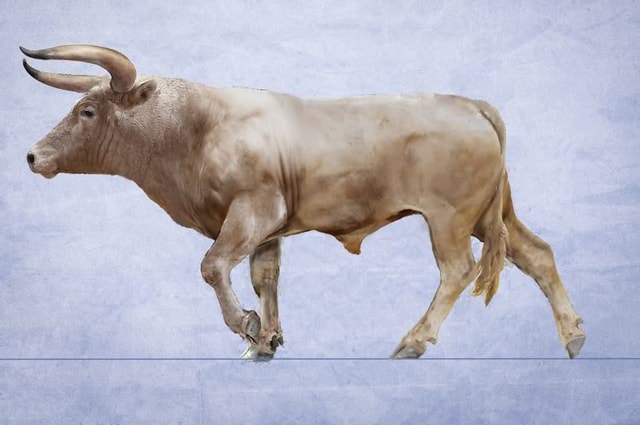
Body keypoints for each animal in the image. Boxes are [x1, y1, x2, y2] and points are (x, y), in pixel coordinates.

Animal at [21, 44, 585, 360]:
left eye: (88, 110)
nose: (32, 155)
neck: (194, 130)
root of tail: (470, 103)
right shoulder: (268, 230)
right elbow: (263, 277)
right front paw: (265, 341)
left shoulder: (254, 210)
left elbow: (213, 265)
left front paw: (246, 327)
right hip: (491, 215)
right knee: (537, 253)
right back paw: (573, 336)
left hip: (450, 218)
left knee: (457, 270)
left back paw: (413, 341)